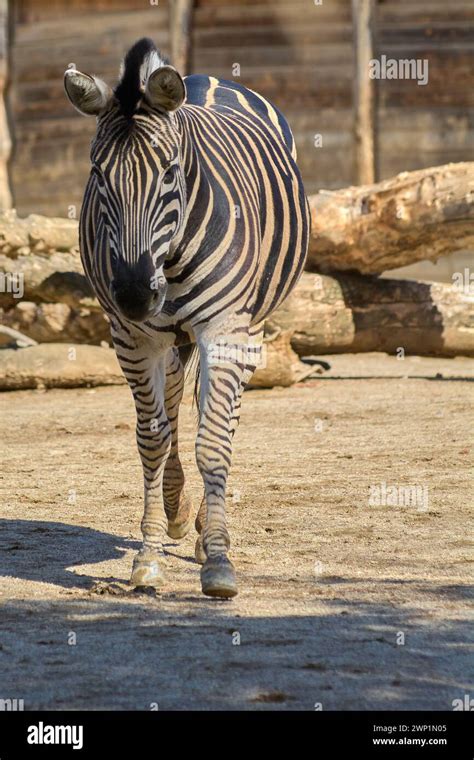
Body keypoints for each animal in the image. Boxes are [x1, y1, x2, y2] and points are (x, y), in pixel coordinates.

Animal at [64, 38, 309, 598]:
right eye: (97, 175)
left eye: (170, 172)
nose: (135, 293)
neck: (168, 260)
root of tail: (204, 79)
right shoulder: (133, 338)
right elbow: (152, 440)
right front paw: (149, 555)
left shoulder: (225, 329)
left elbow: (214, 444)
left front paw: (218, 558)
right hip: (171, 338)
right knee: (176, 404)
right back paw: (180, 513)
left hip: (242, 329)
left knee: (219, 416)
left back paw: (203, 530)